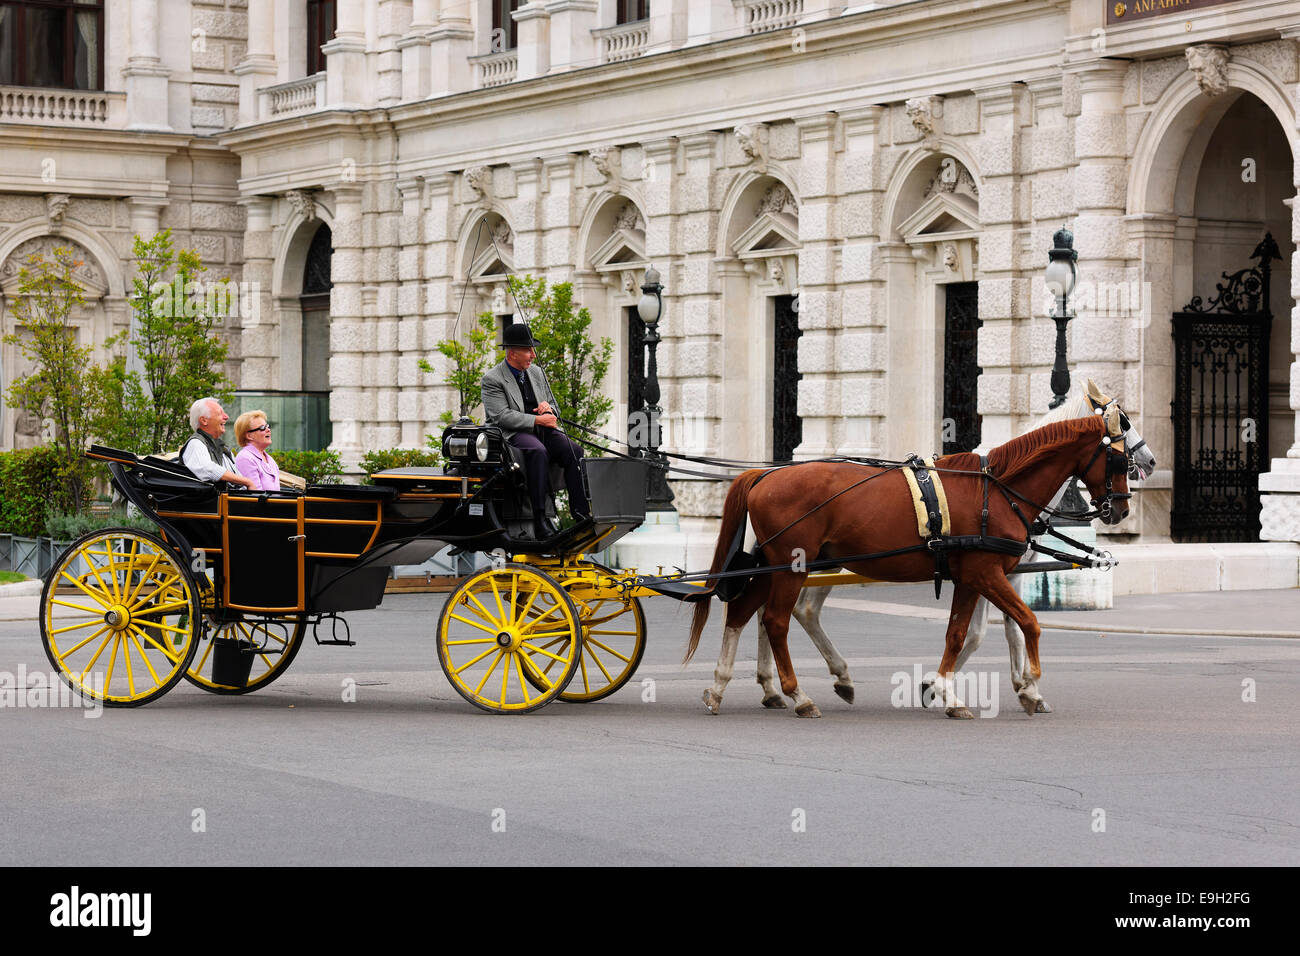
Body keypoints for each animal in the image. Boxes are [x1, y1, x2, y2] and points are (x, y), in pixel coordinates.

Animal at [685, 404, 1132, 719]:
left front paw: (948, 691)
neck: (997, 489)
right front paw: (1029, 685)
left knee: (743, 613)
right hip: (793, 567)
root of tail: (764, 474)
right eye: (1118, 459)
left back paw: (722, 686)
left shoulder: (972, 578)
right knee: (777, 621)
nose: (1121, 510)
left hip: (773, 567)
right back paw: (799, 695)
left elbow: (960, 634)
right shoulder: (986, 573)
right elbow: (1028, 623)